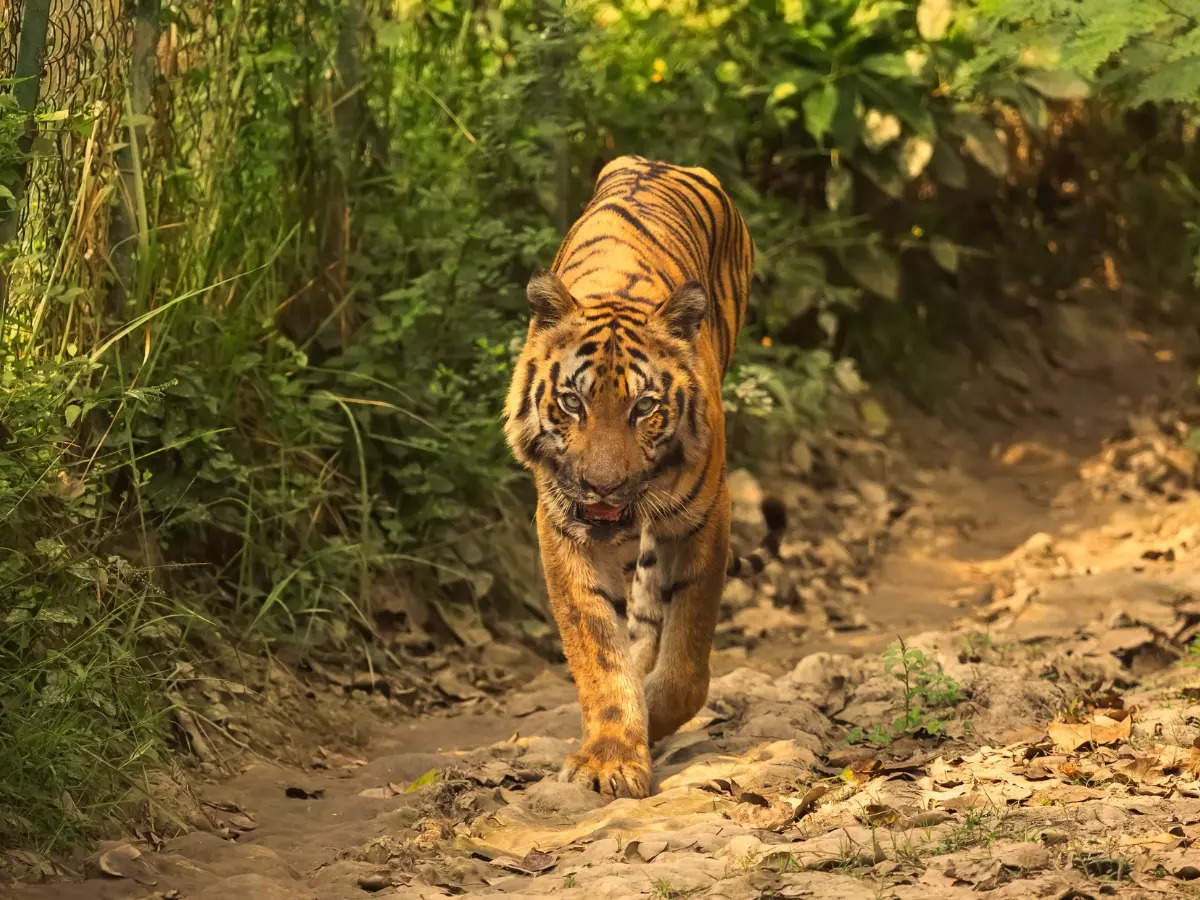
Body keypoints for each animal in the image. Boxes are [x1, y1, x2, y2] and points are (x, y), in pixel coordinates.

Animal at [503, 155, 785, 799]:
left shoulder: (705, 520)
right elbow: (598, 652)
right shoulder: (563, 528)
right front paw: (609, 756)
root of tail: (665, 162)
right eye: (572, 403)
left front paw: (648, 724)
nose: (604, 486)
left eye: (644, 408)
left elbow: (687, 663)